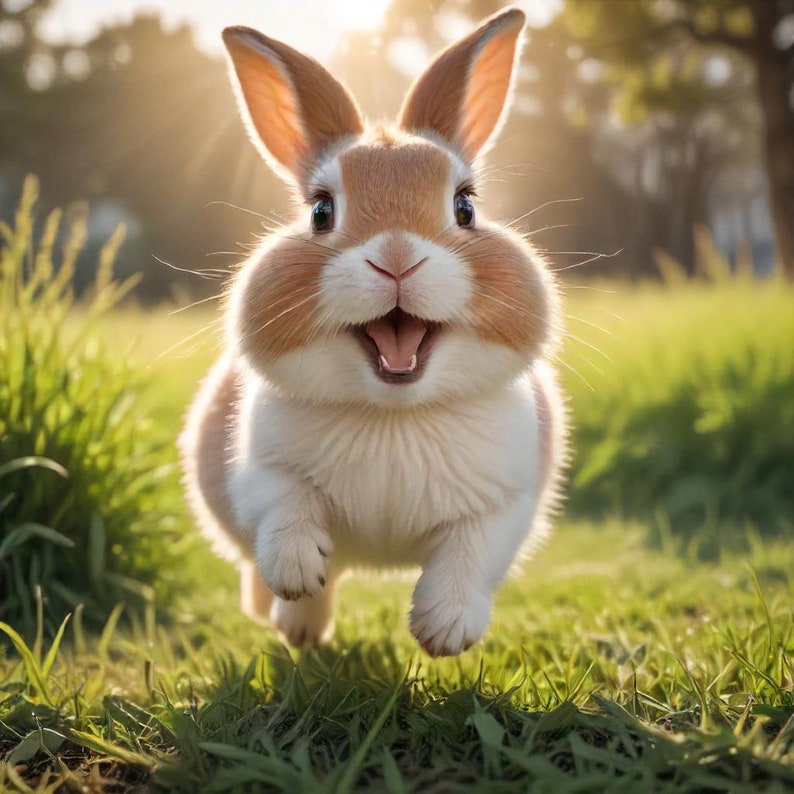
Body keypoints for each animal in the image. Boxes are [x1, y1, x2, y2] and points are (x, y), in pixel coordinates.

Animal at [179, 7, 567, 657]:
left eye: (465, 206)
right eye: (320, 211)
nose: (397, 258)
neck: (394, 413)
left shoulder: (504, 504)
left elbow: (471, 554)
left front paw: (444, 631)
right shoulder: (260, 469)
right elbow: (285, 509)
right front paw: (294, 574)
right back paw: (291, 622)